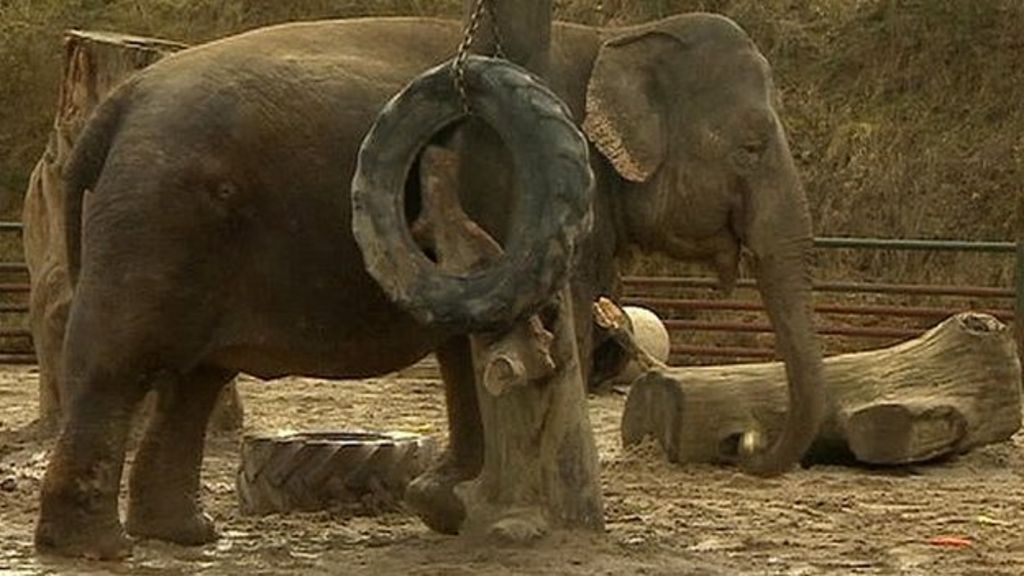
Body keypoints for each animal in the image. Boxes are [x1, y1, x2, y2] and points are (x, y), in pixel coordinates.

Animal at [35, 12, 825, 559]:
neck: (610, 38)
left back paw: (184, 536)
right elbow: (543, 326)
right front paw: (502, 518)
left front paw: (443, 504)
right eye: (752, 146)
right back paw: (100, 550)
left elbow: (465, 349)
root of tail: (115, 106)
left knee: (192, 381)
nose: (746, 449)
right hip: (157, 218)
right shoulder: (550, 201)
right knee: (119, 367)